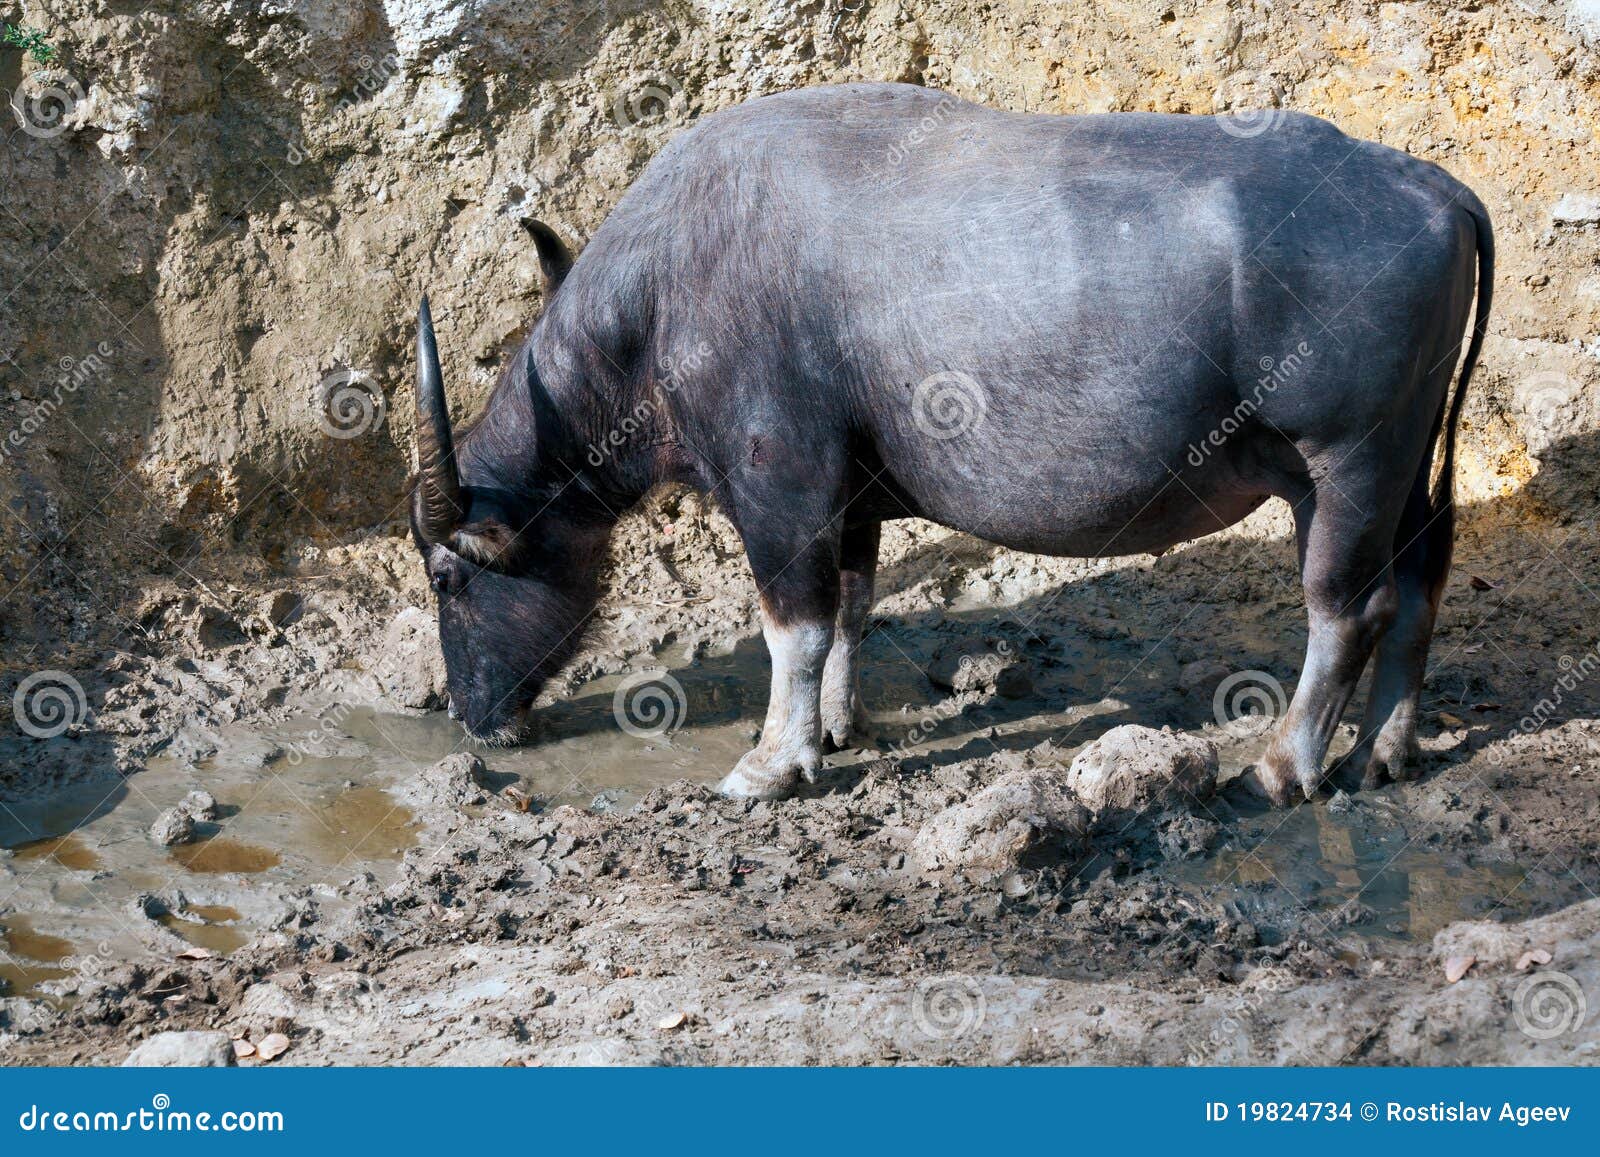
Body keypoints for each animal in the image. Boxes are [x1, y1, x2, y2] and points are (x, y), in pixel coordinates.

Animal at [408, 82, 1492, 807]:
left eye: (447, 577)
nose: (471, 713)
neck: (668, 292)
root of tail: (1432, 188)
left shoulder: (781, 487)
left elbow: (794, 627)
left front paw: (772, 761)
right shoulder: (847, 501)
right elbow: (851, 607)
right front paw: (838, 725)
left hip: (1348, 462)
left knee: (1347, 610)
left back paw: (1282, 764)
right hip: (1398, 471)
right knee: (1418, 590)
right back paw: (1384, 749)